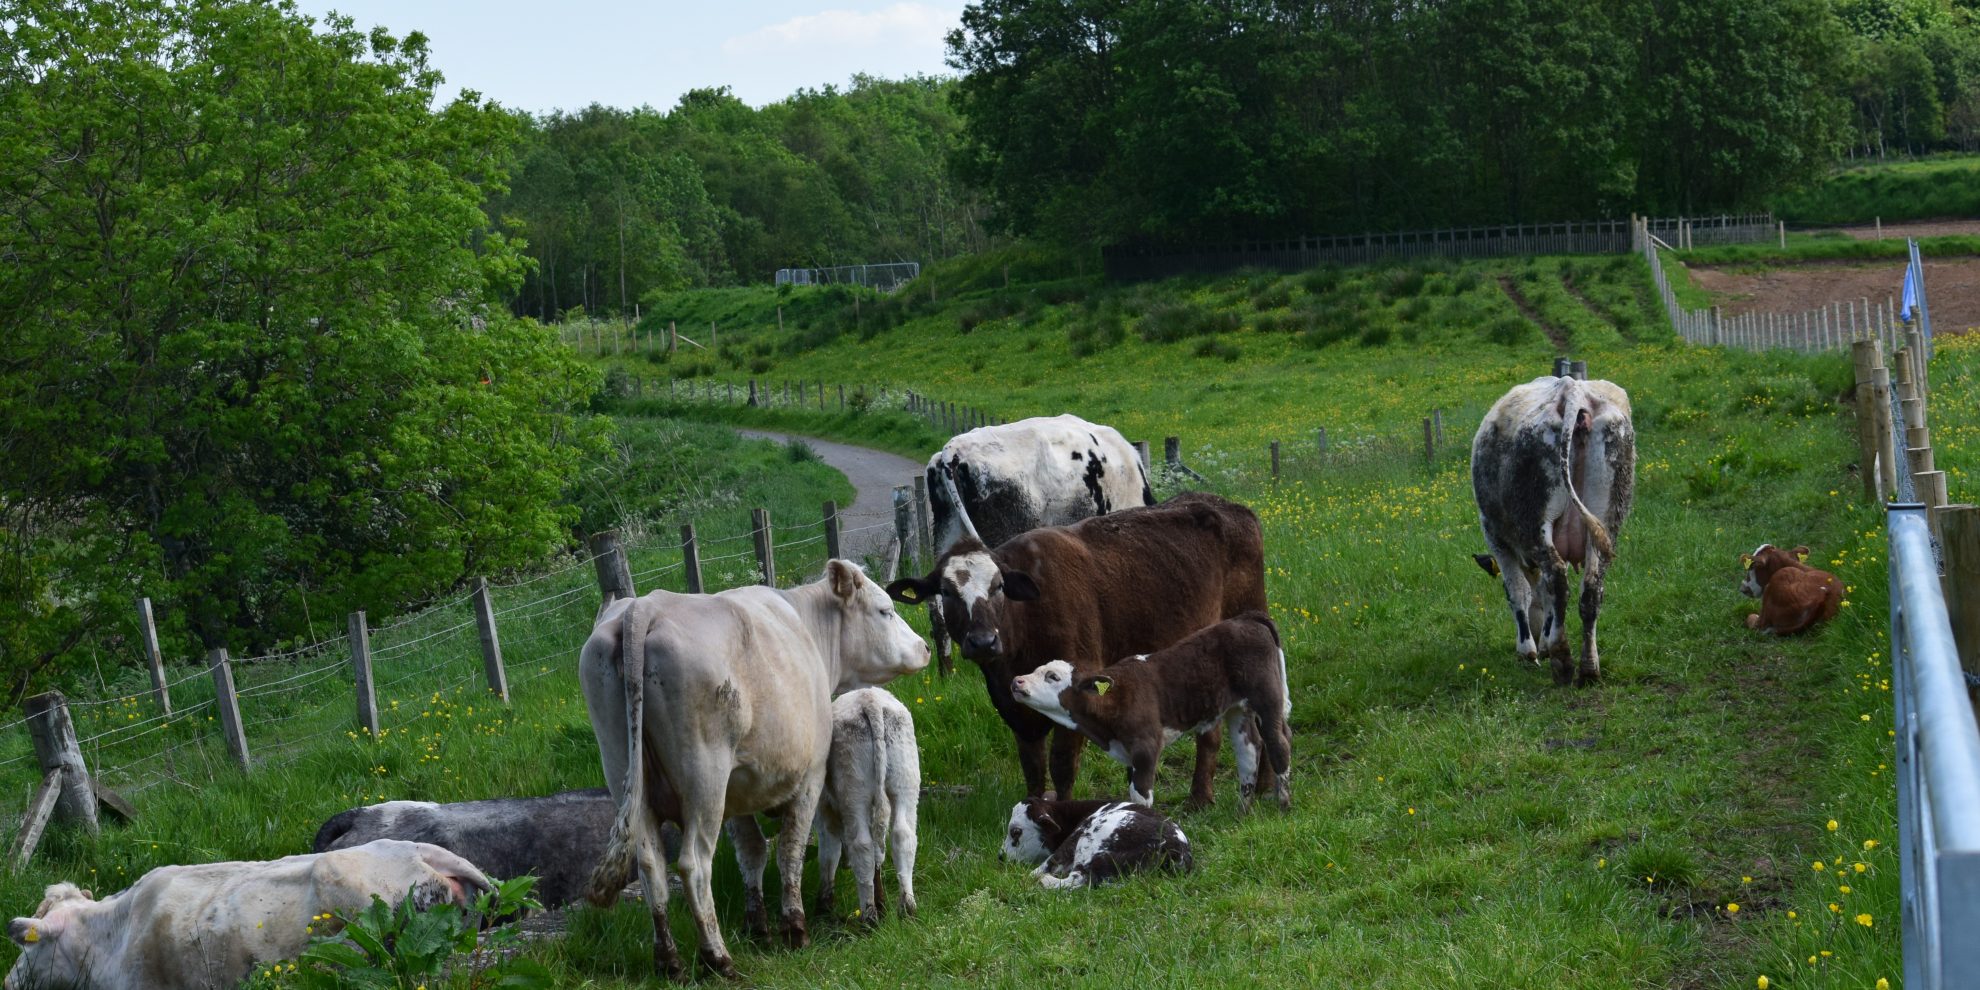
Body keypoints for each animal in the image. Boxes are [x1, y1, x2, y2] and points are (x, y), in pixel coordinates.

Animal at [814, 687, 919, 923]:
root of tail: (869, 700)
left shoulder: (823, 809)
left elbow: (828, 852)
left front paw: (824, 907)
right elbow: (878, 854)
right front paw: (881, 903)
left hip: (854, 792)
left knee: (861, 844)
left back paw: (869, 917)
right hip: (905, 780)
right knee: (902, 836)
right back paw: (907, 908)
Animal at [886, 491, 1268, 806]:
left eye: (998, 586)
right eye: (946, 592)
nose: (982, 641)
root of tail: (1228, 506)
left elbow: (1062, 766)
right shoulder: (1012, 706)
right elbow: (1034, 769)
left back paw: (1241, 789)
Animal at [999, 798, 1192, 890]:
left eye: (1016, 832)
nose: (1001, 856)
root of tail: (1175, 848)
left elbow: (1050, 862)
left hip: (1094, 837)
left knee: (1078, 878)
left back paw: (1041, 880)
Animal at [1010, 611, 1291, 812]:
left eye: (1053, 677)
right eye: (1036, 669)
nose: (1017, 681)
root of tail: (1246, 618)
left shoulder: (1146, 746)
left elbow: (1141, 797)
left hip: (1266, 697)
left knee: (1278, 743)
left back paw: (1284, 805)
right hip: (1237, 708)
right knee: (1249, 749)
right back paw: (1243, 809)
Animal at [1471, 375, 1636, 686]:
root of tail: (1572, 390)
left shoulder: (1496, 535)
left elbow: (1519, 592)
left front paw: (1529, 650)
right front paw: (1544, 641)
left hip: (1536, 521)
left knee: (1557, 578)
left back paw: (1562, 662)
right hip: (1606, 521)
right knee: (1591, 588)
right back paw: (1589, 667)